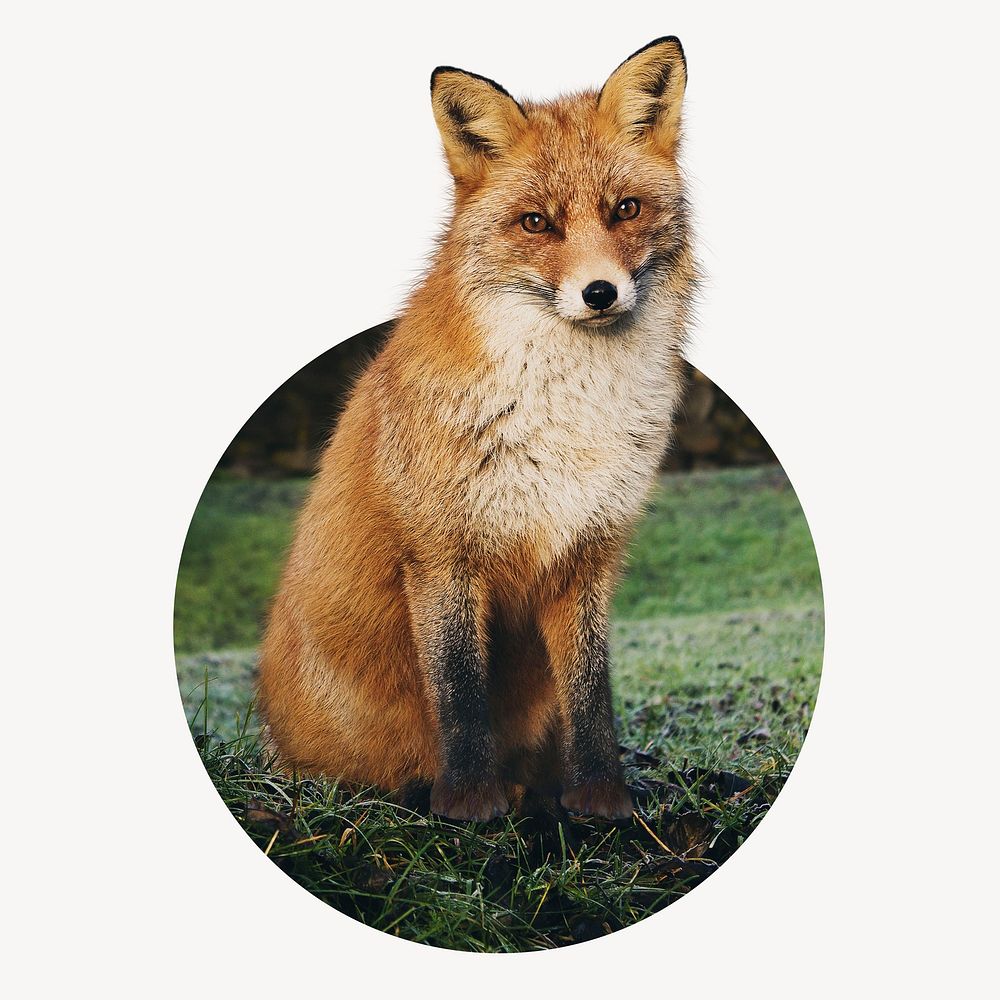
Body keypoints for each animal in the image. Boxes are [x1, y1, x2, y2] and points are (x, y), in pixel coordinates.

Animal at [258, 37, 696, 821]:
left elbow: (593, 697)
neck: (565, 421)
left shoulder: (587, 554)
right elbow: (460, 697)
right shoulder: (441, 555)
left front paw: (600, 801)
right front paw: (467, 807)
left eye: (625, 209)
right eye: (536, 223)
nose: (600, 293)